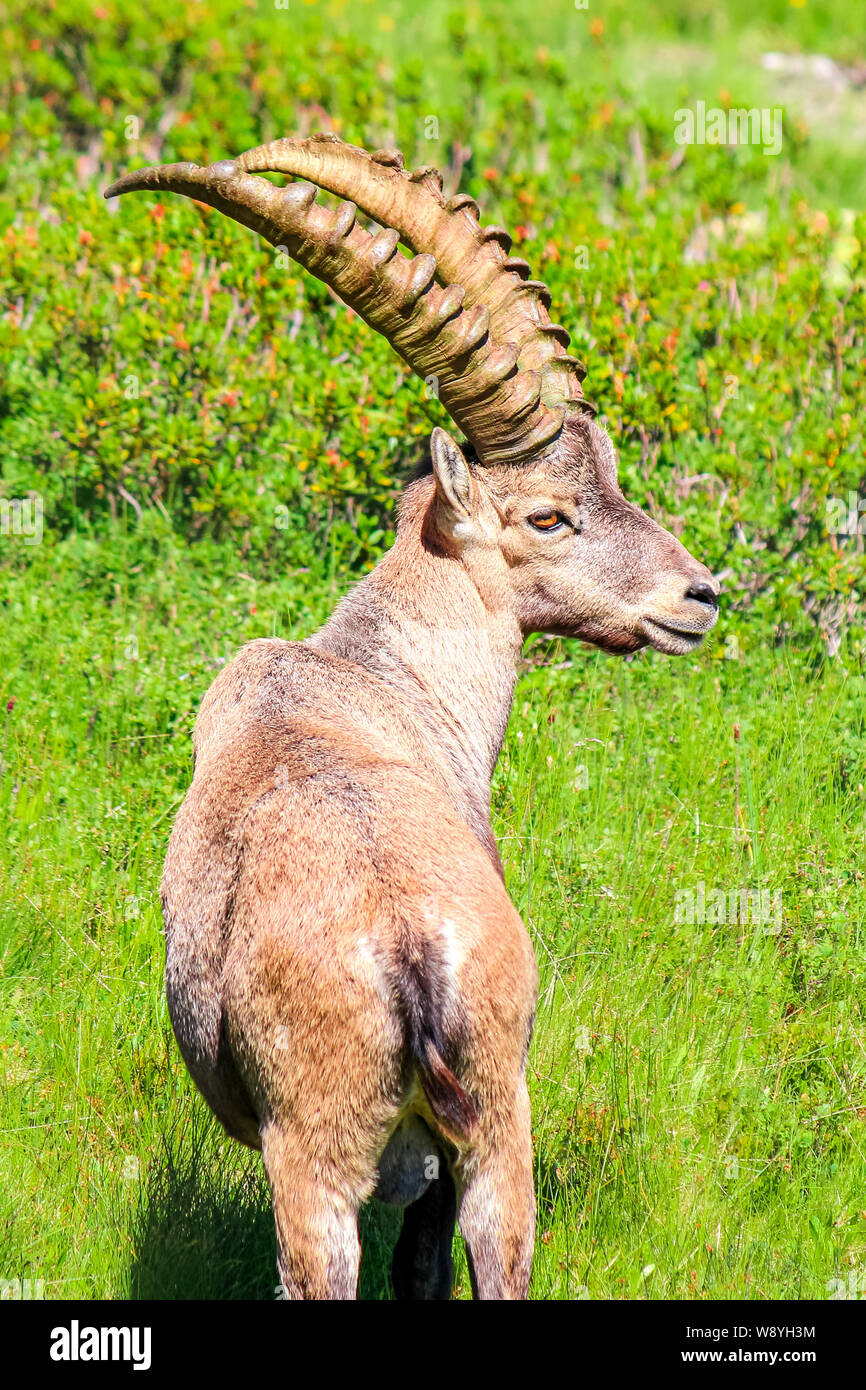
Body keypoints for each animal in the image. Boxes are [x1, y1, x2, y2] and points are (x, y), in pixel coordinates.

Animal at [106, 136, 719, 1300]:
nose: (698, 595)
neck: (371, 672)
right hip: (496, 1122)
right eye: (548, 514)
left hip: (316, 1154)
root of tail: (412, 952)